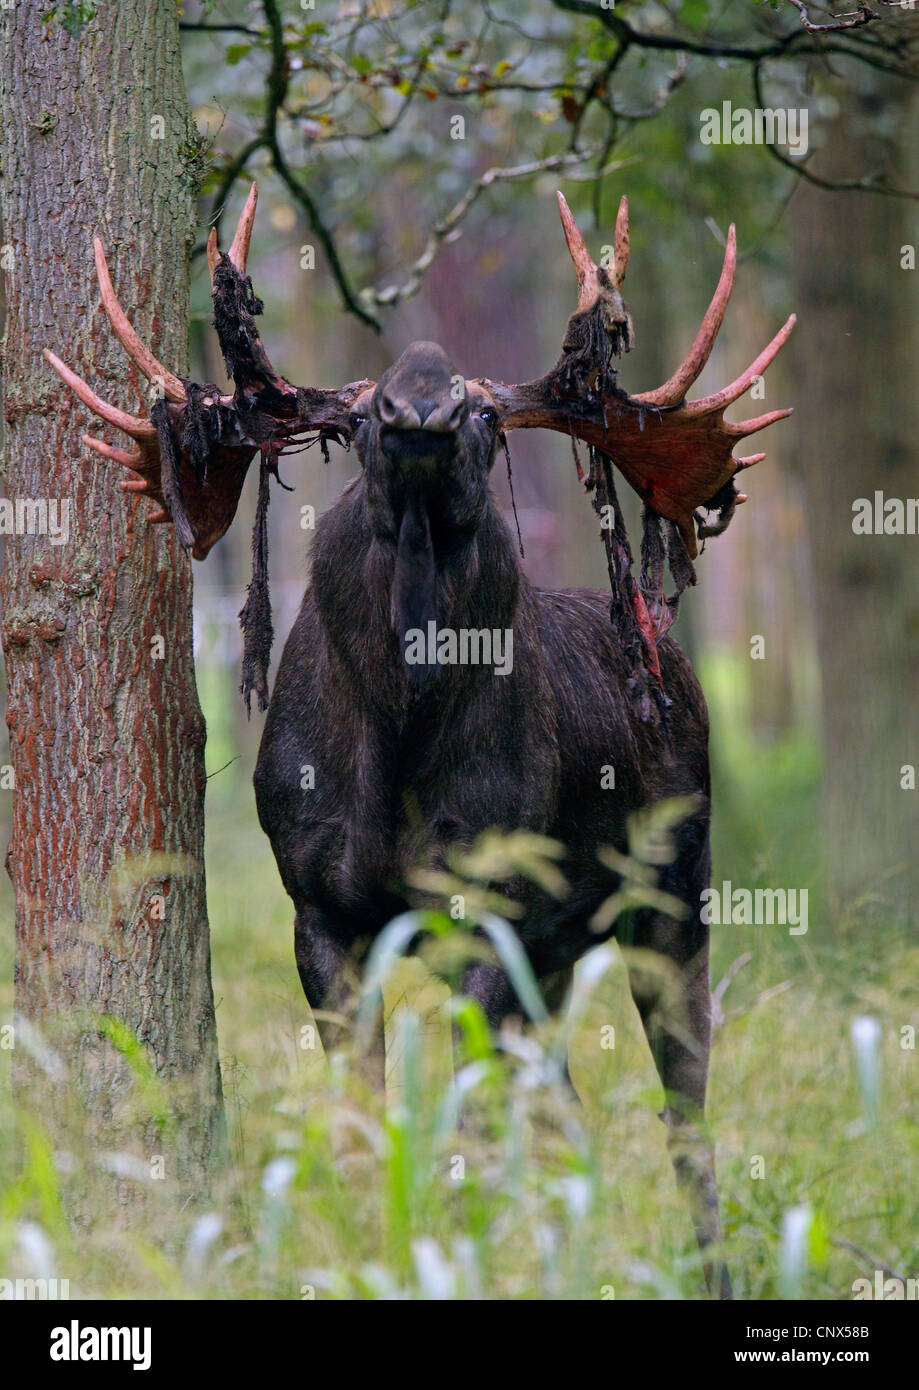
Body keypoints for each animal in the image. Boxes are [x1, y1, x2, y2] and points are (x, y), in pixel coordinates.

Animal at [45, 185, 795, 1299]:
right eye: (357, 416)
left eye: (485, 413)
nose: (419, 412)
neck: (396, 736)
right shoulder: (318, 902)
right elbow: (363, 1113)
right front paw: (366, 1237)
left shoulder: (489, 900)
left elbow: (469, 1114)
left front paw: (466, 1243)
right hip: (560, 948)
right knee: (561, 1096)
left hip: (672, 892)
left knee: (682, 1102)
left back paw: (707, 1265)